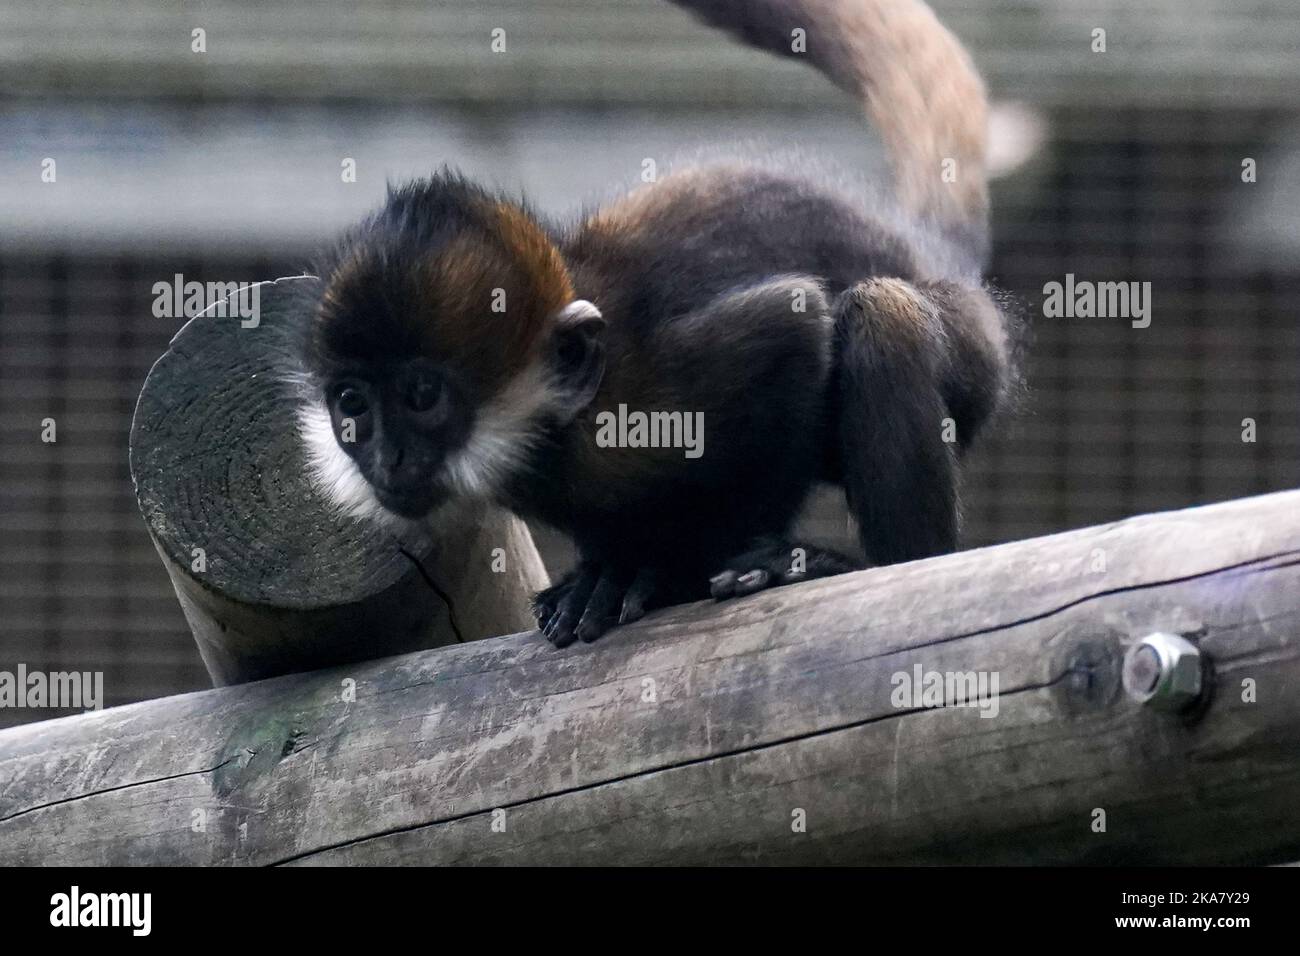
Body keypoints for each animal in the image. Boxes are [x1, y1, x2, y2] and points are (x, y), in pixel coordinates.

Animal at [295, 0, 1022, 648]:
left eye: (421, 396)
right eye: (353, 404)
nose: (384, 457)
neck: (560, 432)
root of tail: (925, 254)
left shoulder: (655, 390)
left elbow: (798, 327)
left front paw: (673, 572)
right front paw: (605, 573)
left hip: (970, 349)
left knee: (880, 313)